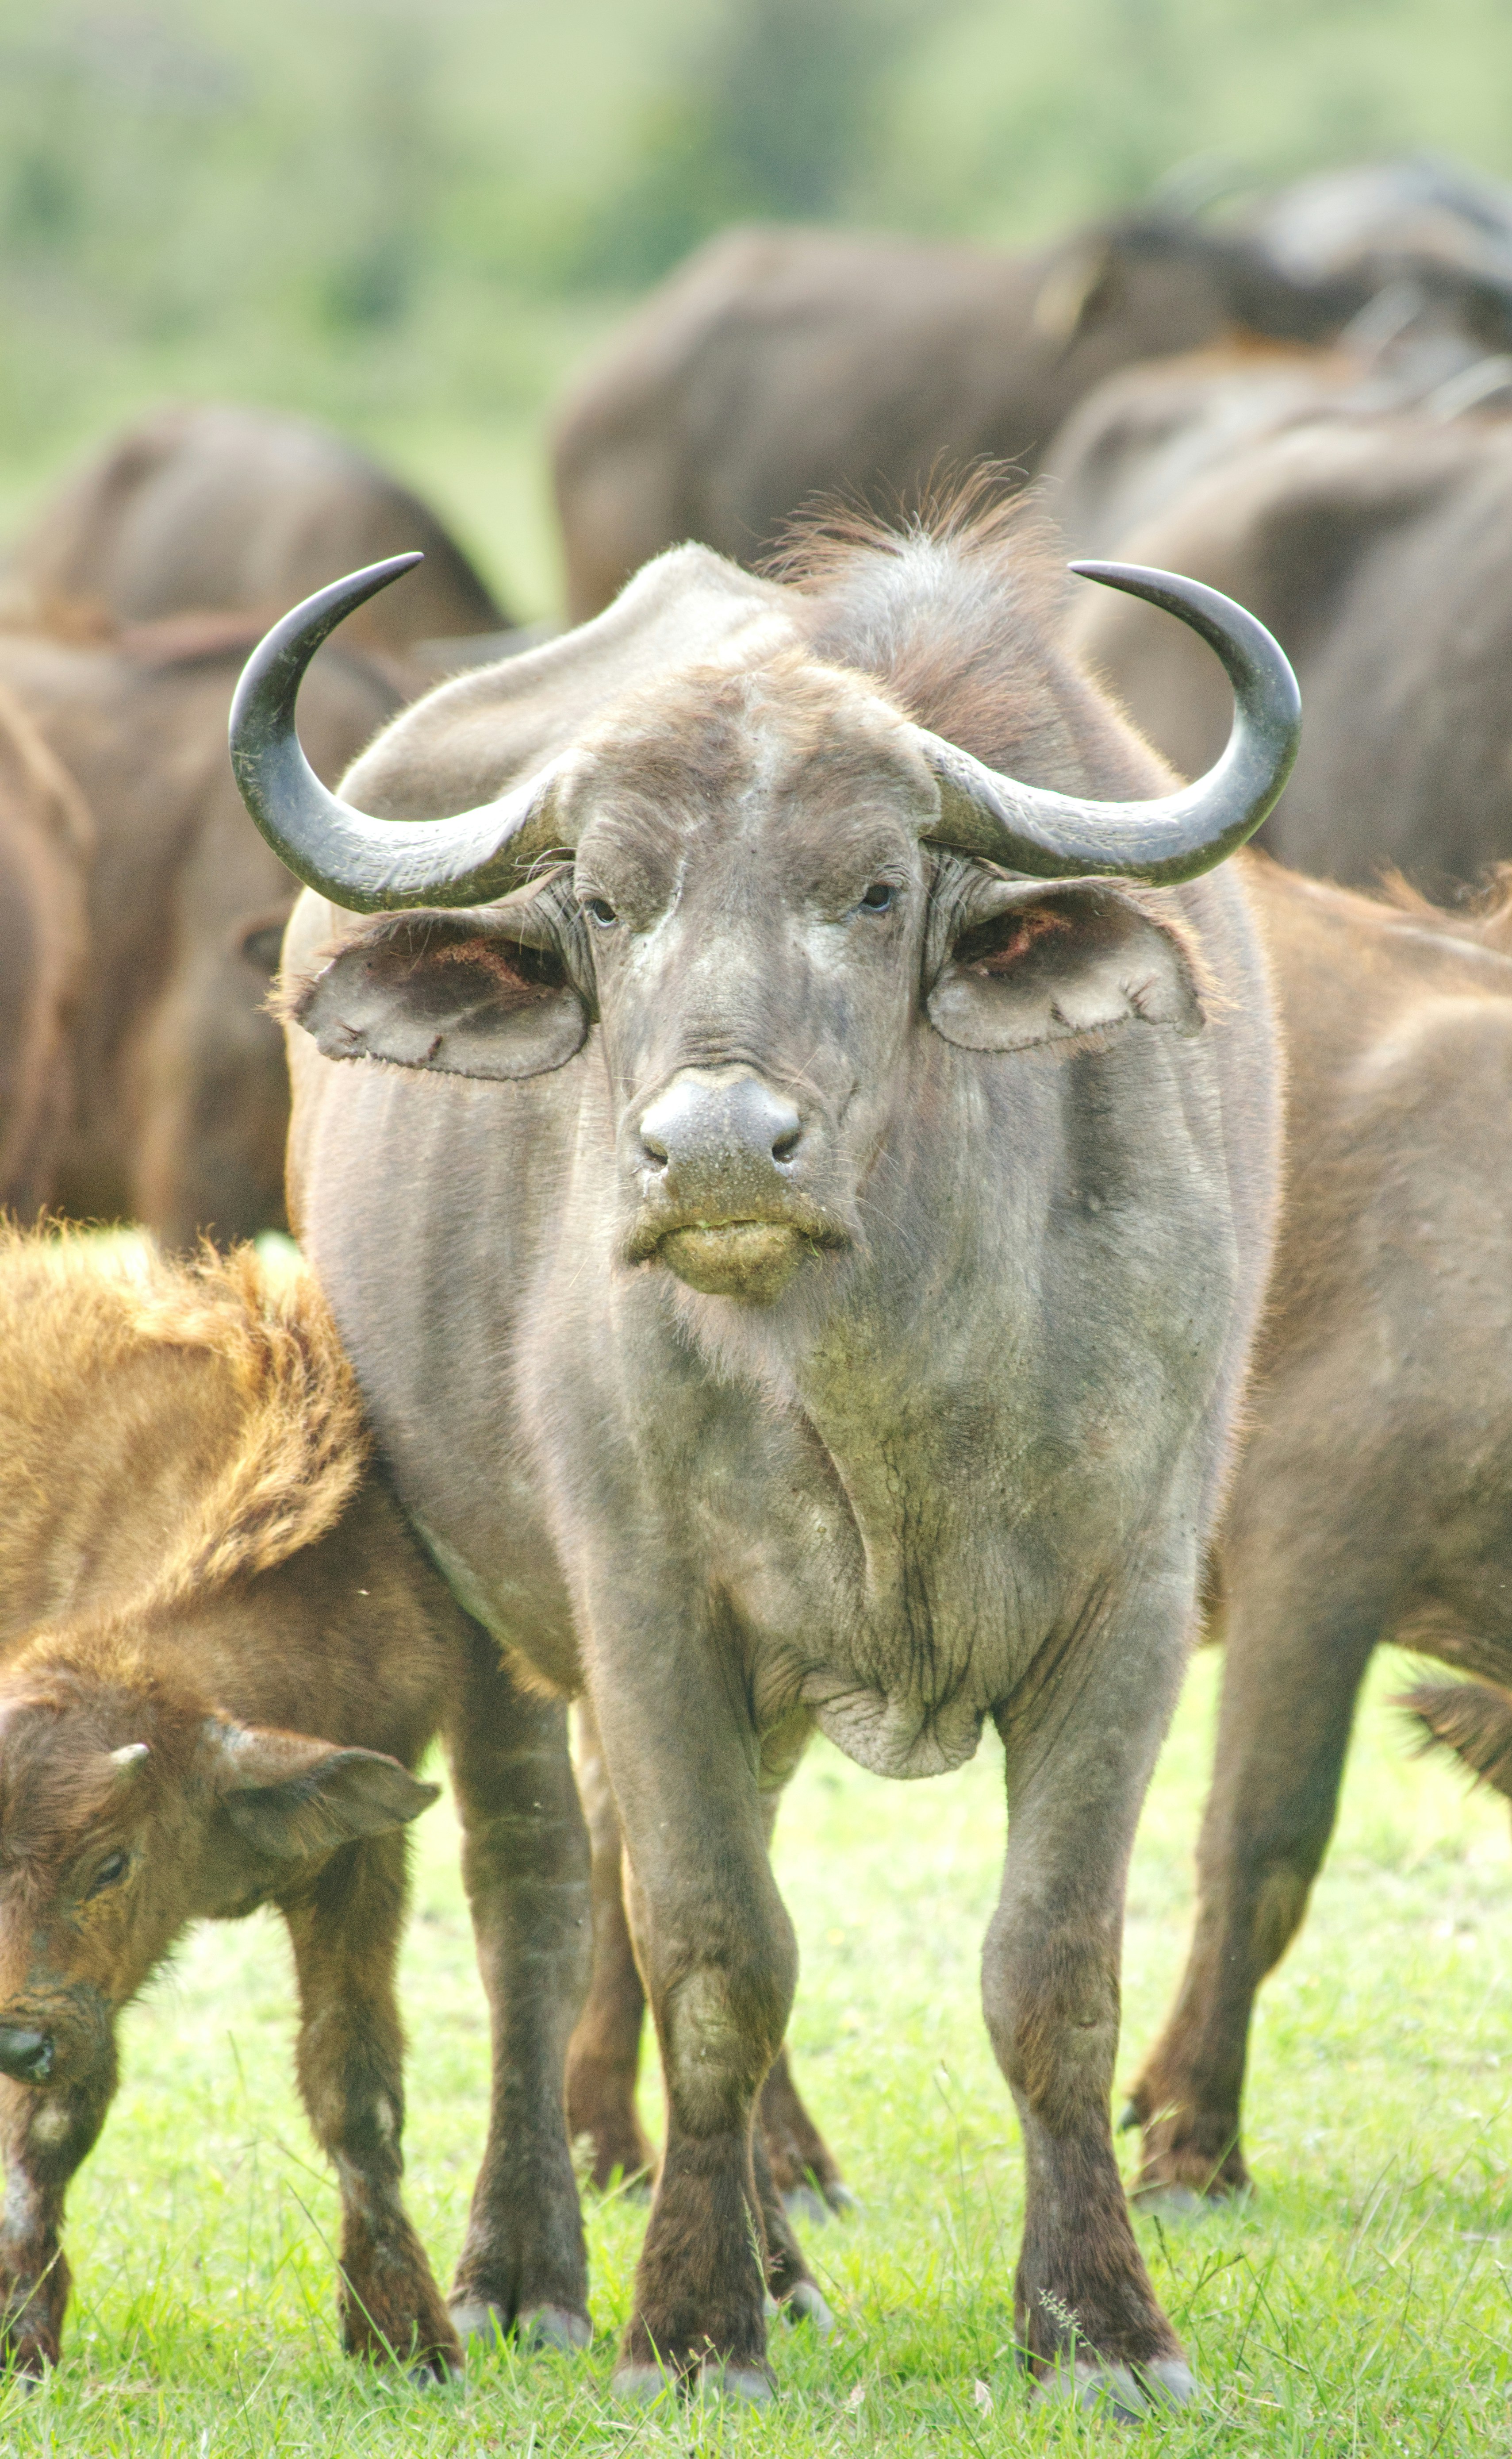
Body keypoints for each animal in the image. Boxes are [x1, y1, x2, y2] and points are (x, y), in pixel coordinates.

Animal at [0, 1227, 589, 2373]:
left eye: (111, 1859)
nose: (11, 2039)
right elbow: (54, 2120)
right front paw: (19, 2321)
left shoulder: (355, 1861)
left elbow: (355, 2088)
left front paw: (406, 2332)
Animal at [231, 497, 1297, 2413]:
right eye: (601, 898)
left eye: (872, 889)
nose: (718, 1150)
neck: (887, 1383)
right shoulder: (648, 1603)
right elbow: (713, 1952)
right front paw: (685, 2323)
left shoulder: (1131, 1602)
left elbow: (1050, 1967)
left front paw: (1095, 2324)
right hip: (475, 1595)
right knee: (537, 1896)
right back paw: (531, 2266)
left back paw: (783, 2261)